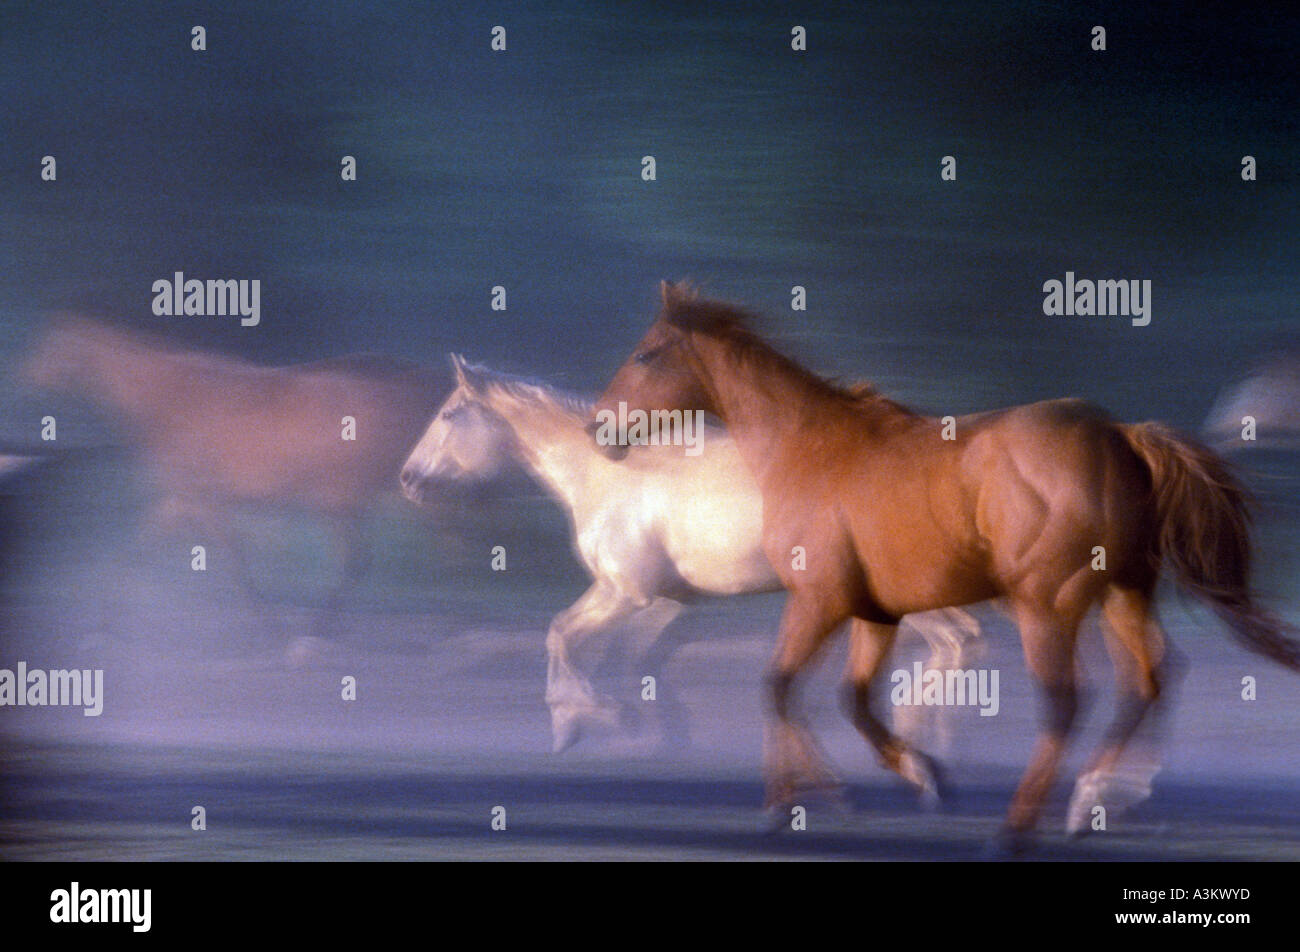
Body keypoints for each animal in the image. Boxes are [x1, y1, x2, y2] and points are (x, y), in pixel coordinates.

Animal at [19, 314, 451, 643]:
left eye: (50, 346)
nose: (26, 375)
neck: (169, 397)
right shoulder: (184, 498)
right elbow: (138, 546)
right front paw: (104, 617)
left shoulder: (201, 498)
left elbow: (234, 559)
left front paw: (268, 623)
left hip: (342, 503)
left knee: (361, 561)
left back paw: (320, 626)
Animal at [400, 355, 981, 753]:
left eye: (449, 414)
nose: (409, 479)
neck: (610, 476)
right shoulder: (671, 603)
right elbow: (639, 662)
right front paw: (654, 734)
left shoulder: (624, 594)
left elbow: (560, 634)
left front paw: (579, 721)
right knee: (962, 641)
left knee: (956, 641)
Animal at [589, 281, 1300, 847]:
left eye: (646, 353)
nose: (601, 428)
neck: (809, 448)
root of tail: (1121, 436)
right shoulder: (873, 613)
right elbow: (852, 699)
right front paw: (916, 773)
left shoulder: (818, 600)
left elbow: (779, 686)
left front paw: (794, 801)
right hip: (1124, 591)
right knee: (1149, 680)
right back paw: (1092, 800)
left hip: (1047, 604)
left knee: (1068, 703)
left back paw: (1019, 827)